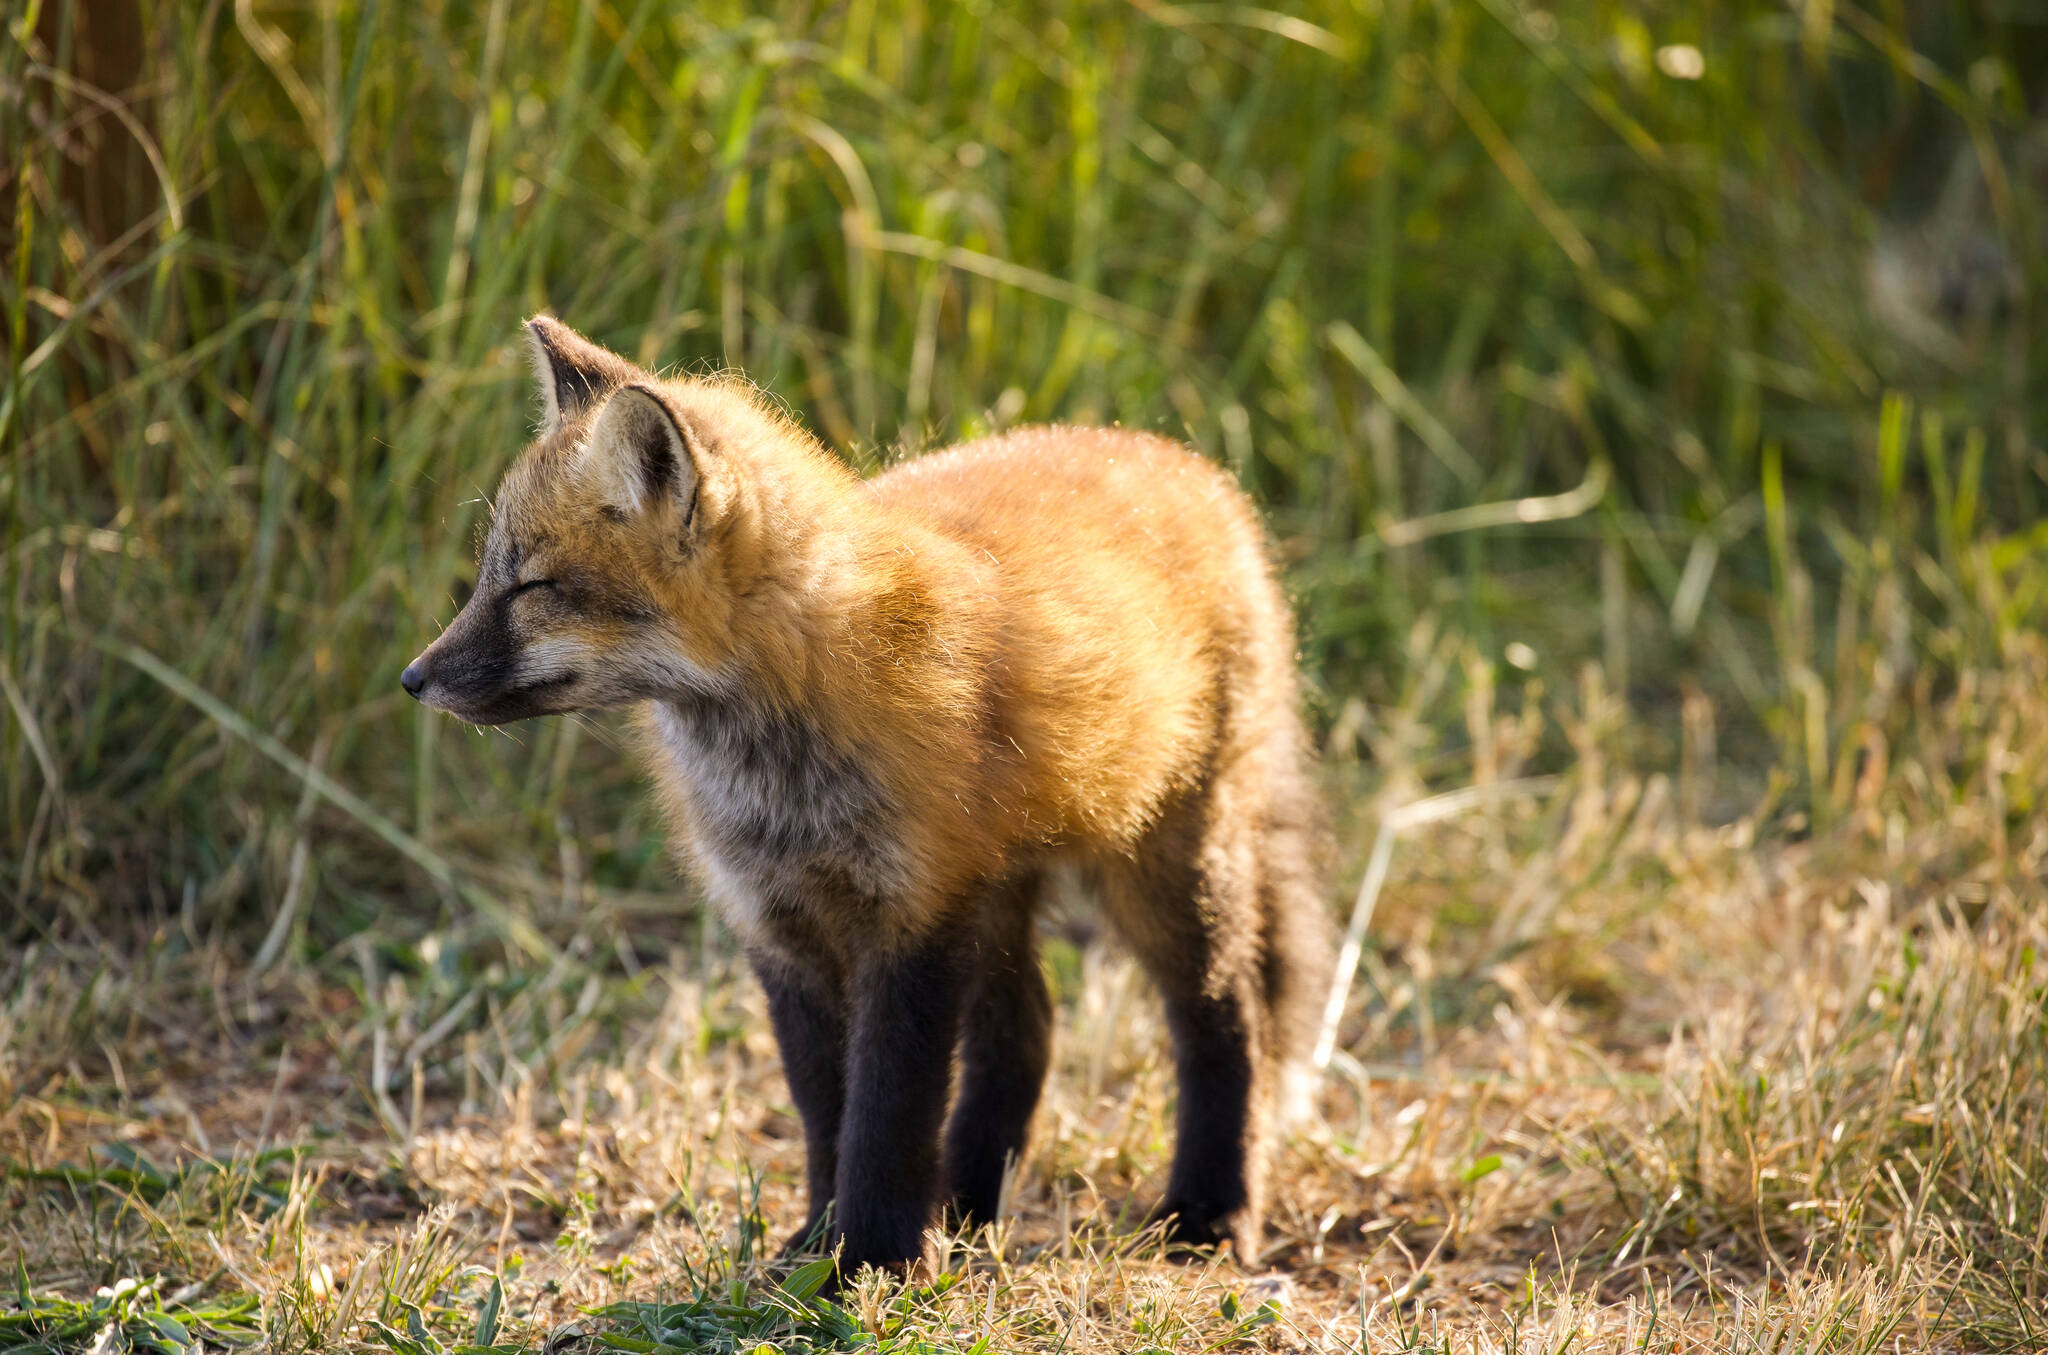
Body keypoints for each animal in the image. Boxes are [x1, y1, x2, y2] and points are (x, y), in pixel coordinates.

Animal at [402, 316, 1331, 1277]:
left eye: (534, 587)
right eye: (490, 575)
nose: (413, 679)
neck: (781, 764)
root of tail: (1194, 467)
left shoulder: (912, 918)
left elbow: (886, 1114)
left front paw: (869, 1263)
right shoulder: (780, 925)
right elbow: (825, 1110)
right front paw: (819, 1243)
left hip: (1158, 870)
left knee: (1226, 1019)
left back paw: (1209, 1212)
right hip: (1001, 892)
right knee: (1028, 1031)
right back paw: (967, 1208)